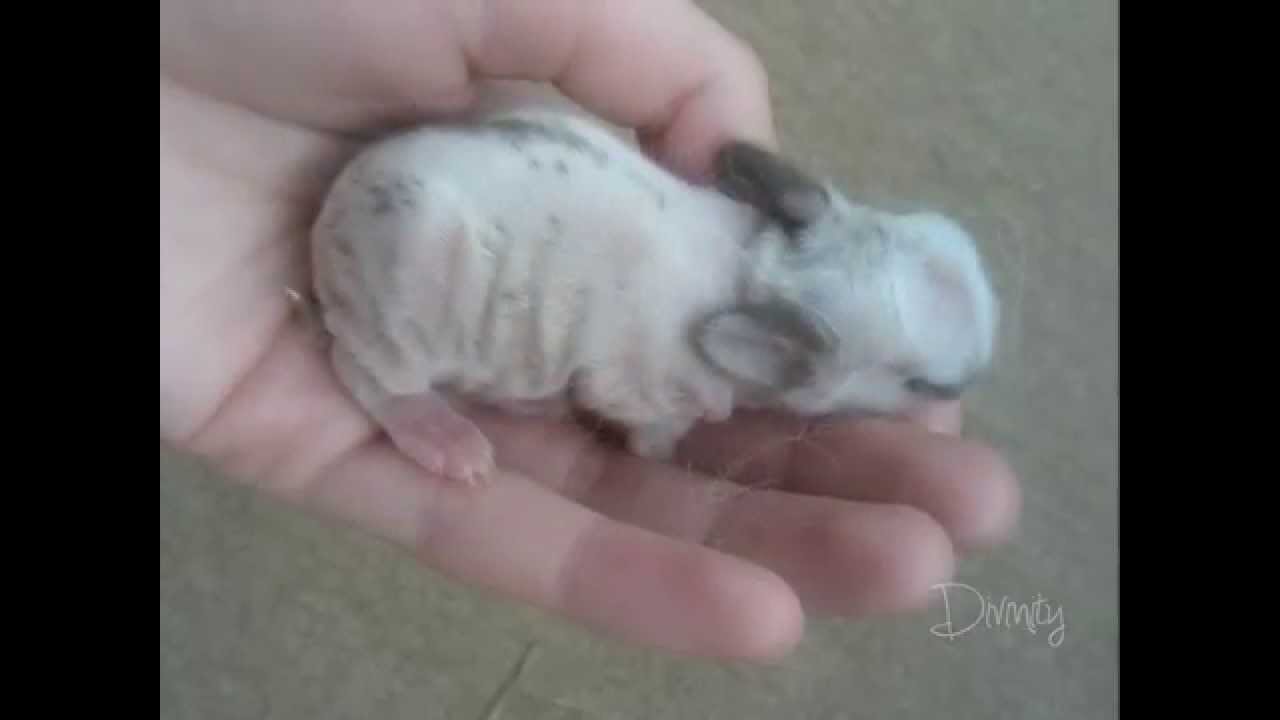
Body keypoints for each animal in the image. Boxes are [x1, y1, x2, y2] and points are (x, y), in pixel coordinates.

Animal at [304, 105, 999, 487]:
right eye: (924, 385)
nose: (974, 379)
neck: (757, 275)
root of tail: (330, 211)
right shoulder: (648, 394)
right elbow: (652, 436)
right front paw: (665, 458)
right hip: (406, 296)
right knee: (362, 371)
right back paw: (447, 438)